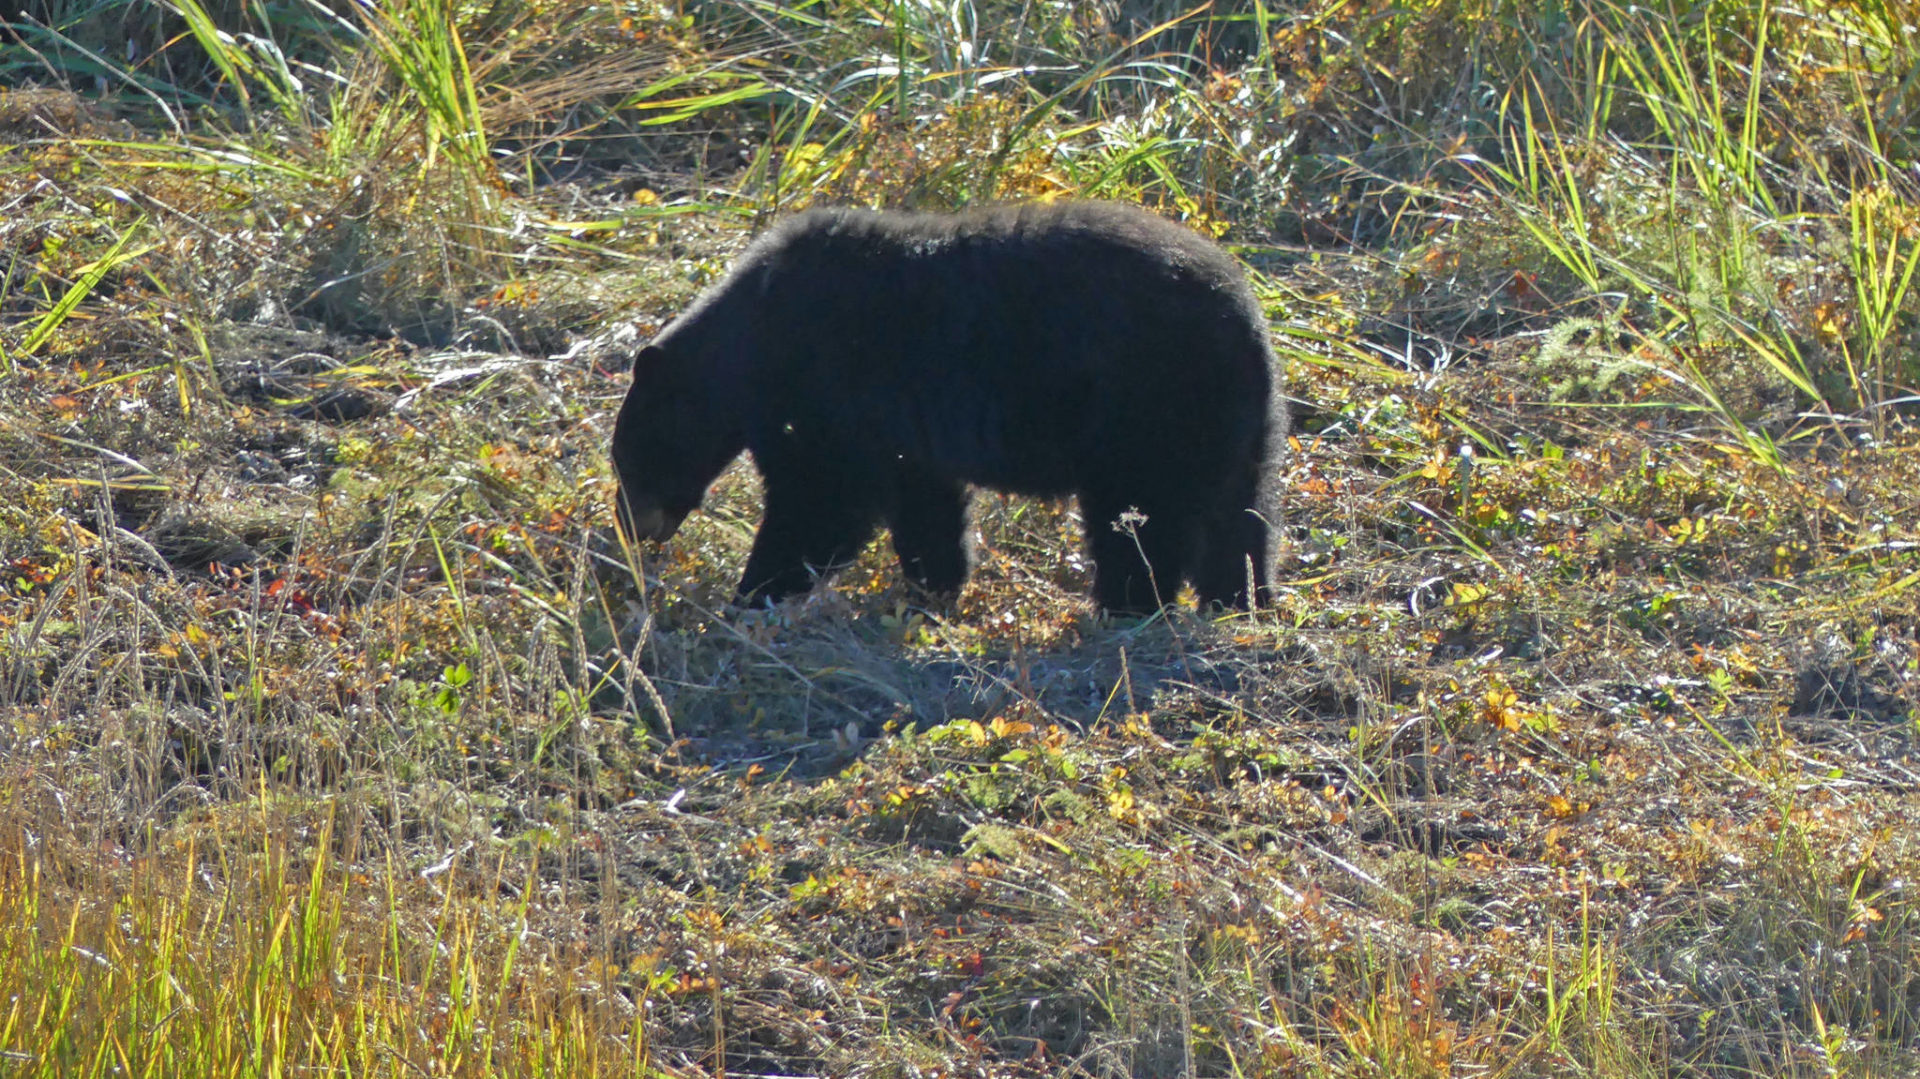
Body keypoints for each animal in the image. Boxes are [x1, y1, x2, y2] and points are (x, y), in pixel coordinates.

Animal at [611, 200, 1285, 614]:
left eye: (626, 461)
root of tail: (1248, 318)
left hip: (1145, 411)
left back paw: (1128, 605)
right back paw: (1239, 600)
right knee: (1240, 517)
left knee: (1140, 520)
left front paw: (751, 594)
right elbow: (924, 504)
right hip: (1234, 424)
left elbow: (822, 504)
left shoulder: (829, 391)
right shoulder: (900, 434)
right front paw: (931, 592)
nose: (629, 531)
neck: (753, 340)